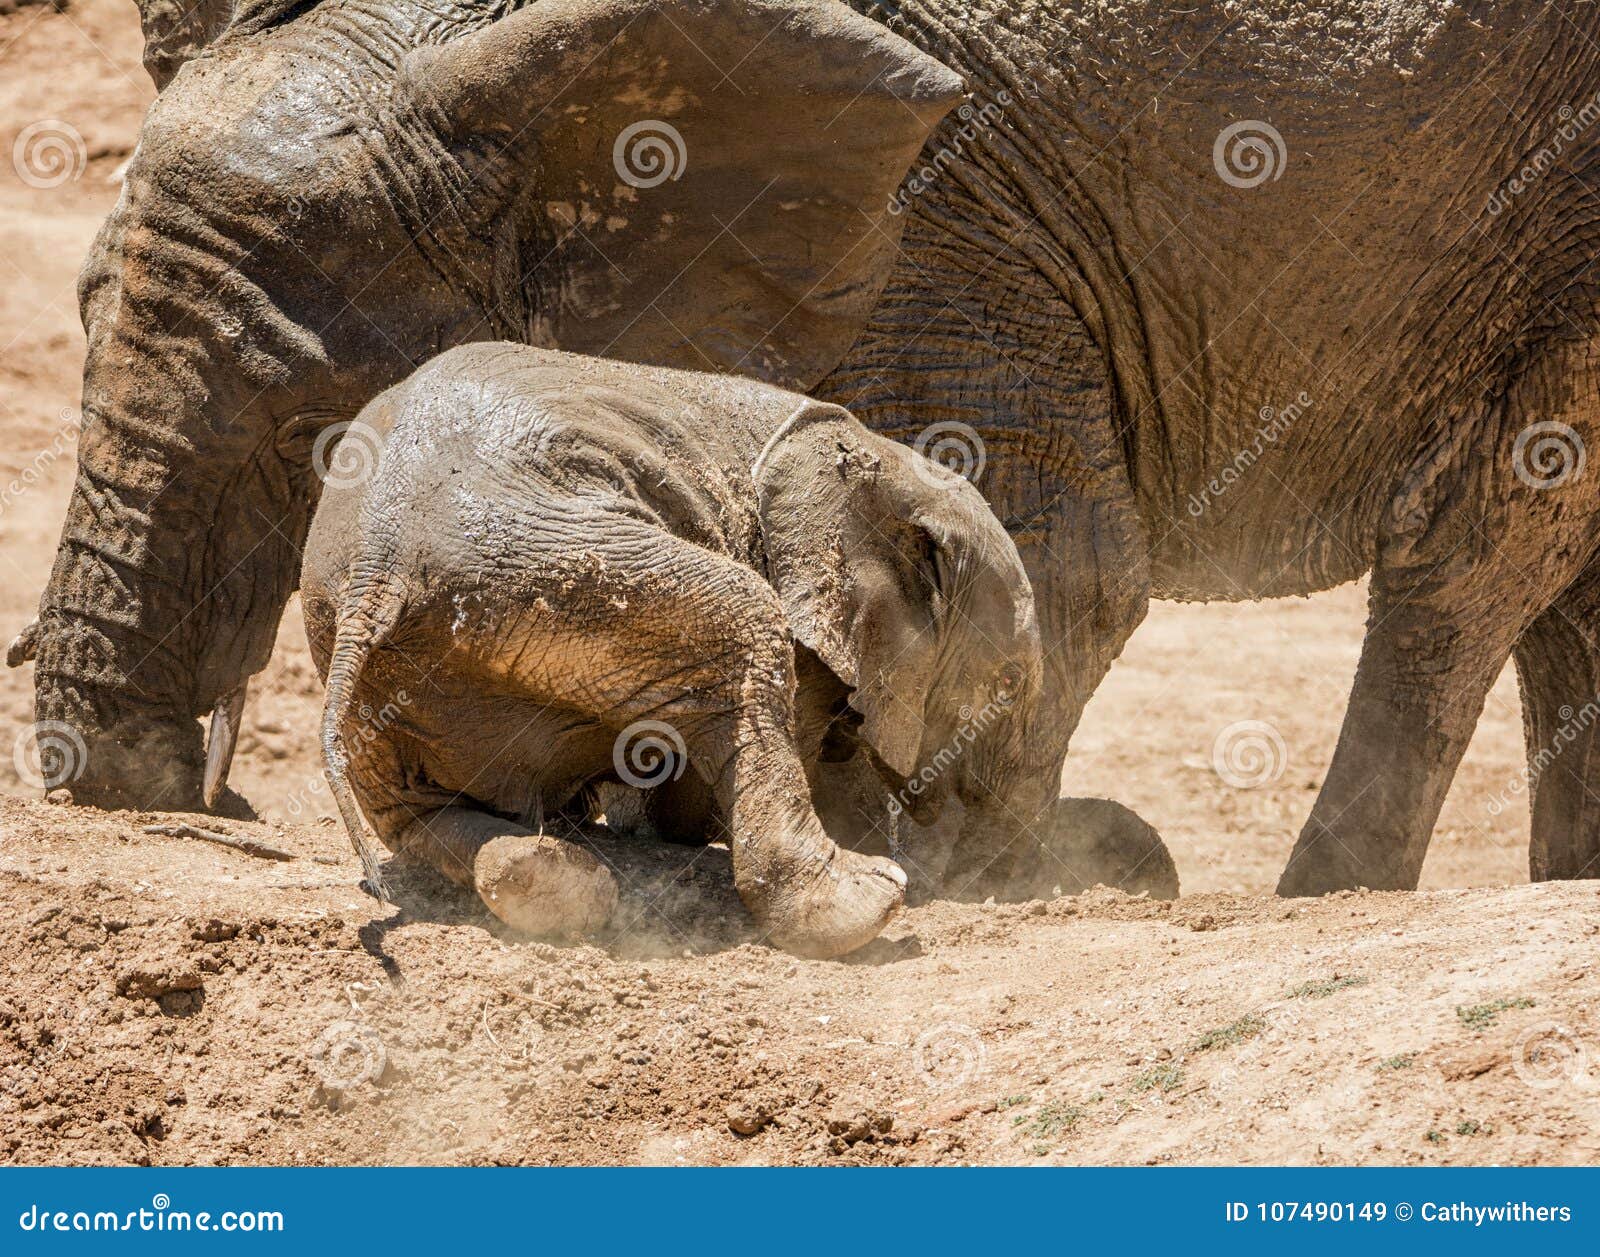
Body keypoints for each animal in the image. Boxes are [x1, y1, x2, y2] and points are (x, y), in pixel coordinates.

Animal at [299, 341, 1057, 957]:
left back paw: (557, 876)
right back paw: (869, 899)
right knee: (744, 619)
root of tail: (377, 567)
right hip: (553, 571)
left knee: (415, 814)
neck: (887, 459)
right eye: (1009, 685)